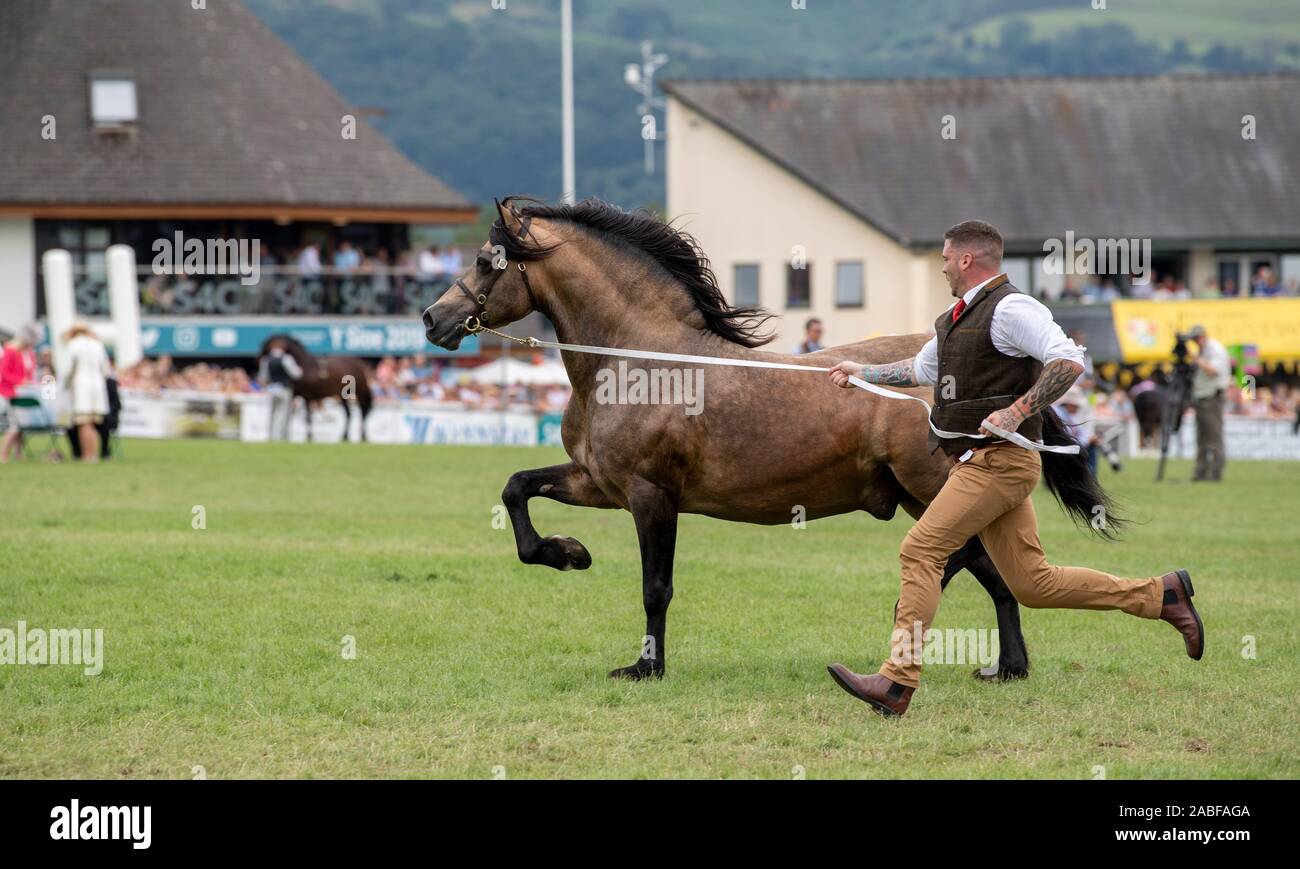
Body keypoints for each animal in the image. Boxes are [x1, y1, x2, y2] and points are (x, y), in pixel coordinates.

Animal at [422, 197, 1116, 683]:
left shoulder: (650, 496)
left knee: (983, 571)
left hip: (937, 492)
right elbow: (516, 489)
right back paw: (1000, 666)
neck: (638, 359)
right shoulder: (599, 484)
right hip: (929, 499)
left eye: (485, 261)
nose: (433, 320)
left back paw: (997, 665)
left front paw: (646, 667)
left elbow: (655, 587)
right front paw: (569, 553)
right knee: (982, 571)